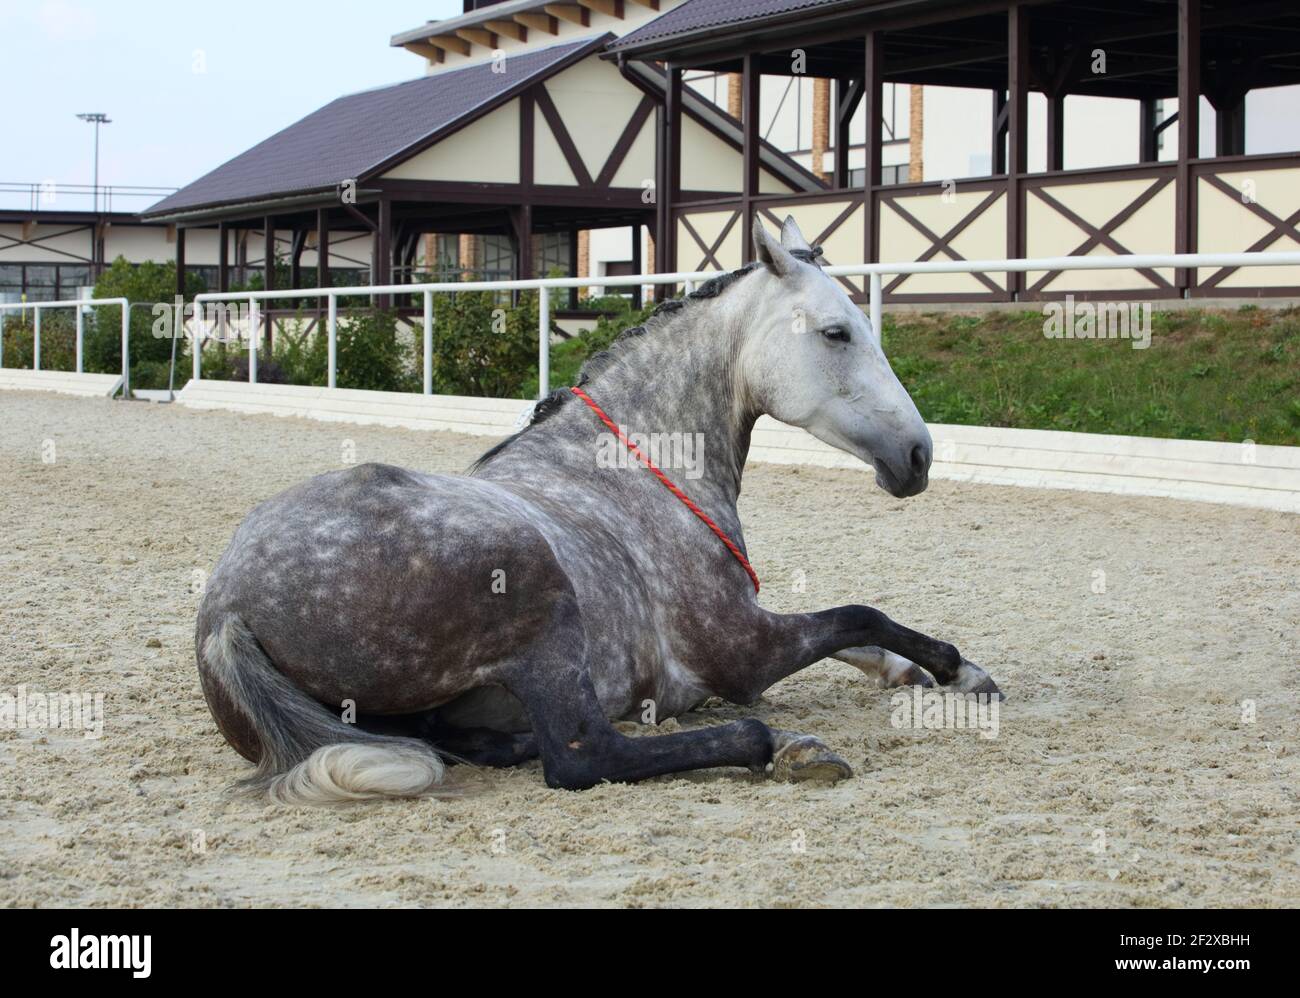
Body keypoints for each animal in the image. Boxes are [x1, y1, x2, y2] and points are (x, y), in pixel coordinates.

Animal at [195, 216, 1002, 804]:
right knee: (582, 756)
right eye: (836, 332)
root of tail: (227, 613)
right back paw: (777, 746)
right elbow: (860, 615)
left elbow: (859, 634)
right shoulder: (743, 648)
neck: (630, 470)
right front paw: (952, 667)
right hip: (535, 596)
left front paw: (923, 672)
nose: (919, 455)